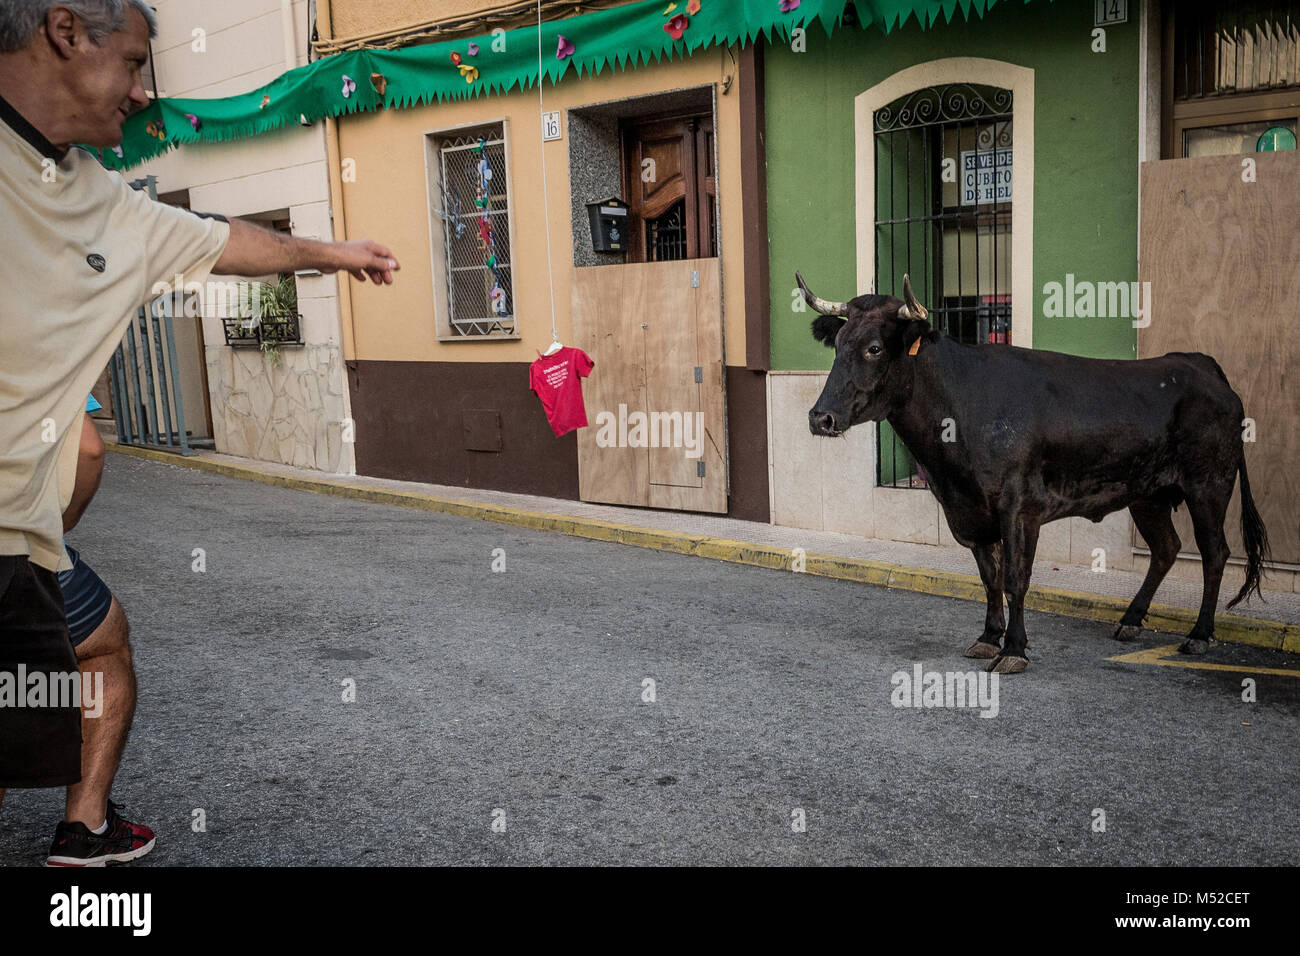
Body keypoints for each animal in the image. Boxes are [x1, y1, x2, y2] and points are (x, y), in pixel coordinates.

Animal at [797, 271, 1270, 674]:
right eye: (837, 343)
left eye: (874, 348)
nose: (820, 417)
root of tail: (1200, 364)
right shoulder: (968, 510)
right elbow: (989, 578)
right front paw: (988, 637)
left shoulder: (1020, 508)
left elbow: (1015, 579)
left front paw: (1014, 649)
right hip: (1147, 493)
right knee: (1167, 548)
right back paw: (1131, 620)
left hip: (1209, 484)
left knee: (1214, 553)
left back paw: (1200, 634)